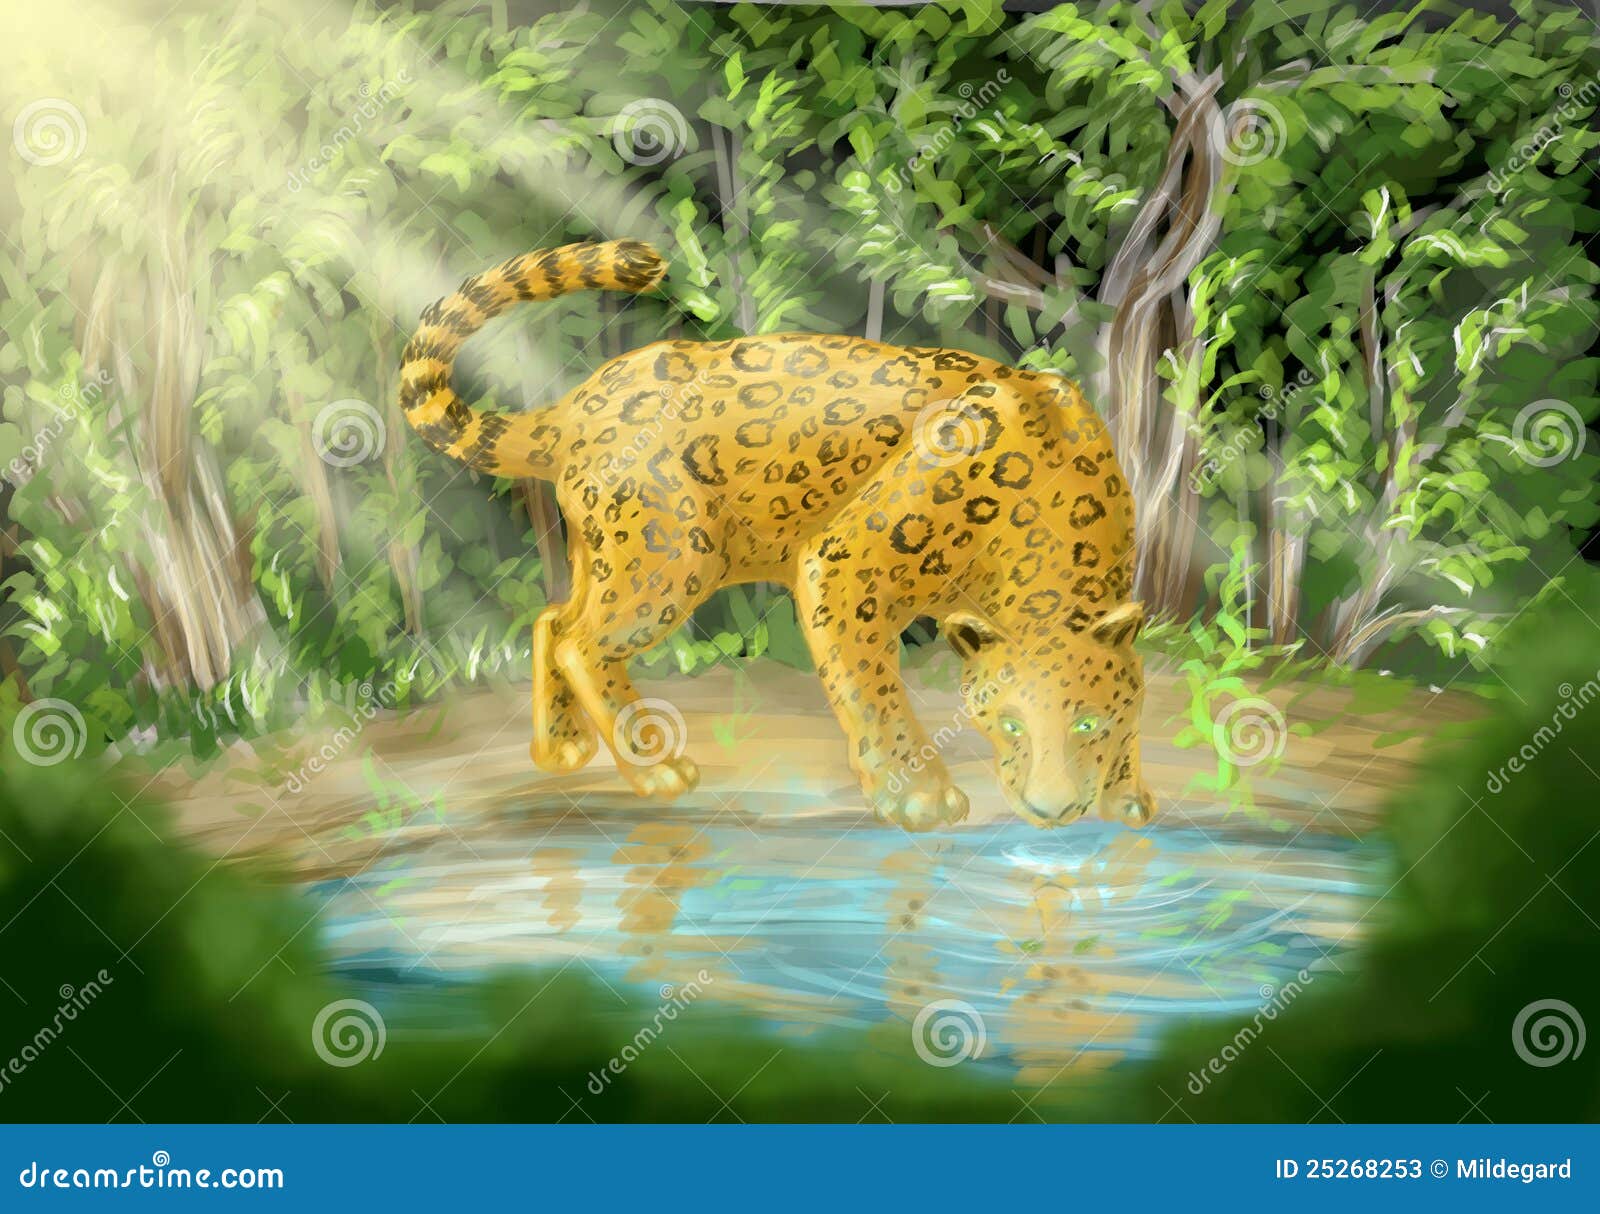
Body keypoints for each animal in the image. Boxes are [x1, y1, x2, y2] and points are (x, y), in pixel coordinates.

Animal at [398, 239, 1155, 831]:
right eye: (1009, 722)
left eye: (1090, 723)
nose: (1053, 809)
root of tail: (575, 404)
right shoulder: (843, 563)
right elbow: (871, 689)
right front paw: (919, 798)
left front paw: (1126, 798)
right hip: (669, 560)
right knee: (581, 643)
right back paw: (657, 769)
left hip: (608, 556)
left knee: (551, 620)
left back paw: (560, 750)